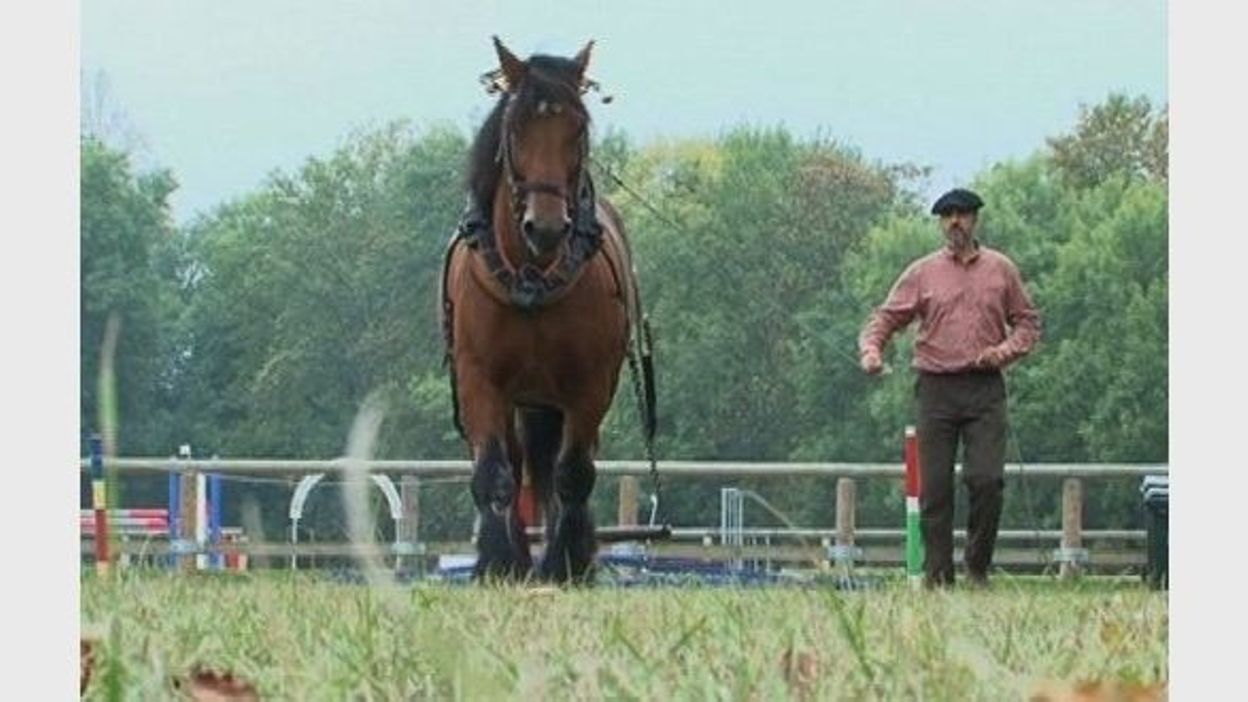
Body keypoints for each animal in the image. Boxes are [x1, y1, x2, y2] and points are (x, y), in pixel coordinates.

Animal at [440, 37, 653, 583]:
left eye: (577, 128)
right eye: (515, 130)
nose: (548, 227)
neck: (532, 278)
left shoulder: (589, 384)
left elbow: (572, 473)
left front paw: (565, 562)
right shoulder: (479, 379)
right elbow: (494, 472)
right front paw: (500, 561)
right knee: (518, 464)